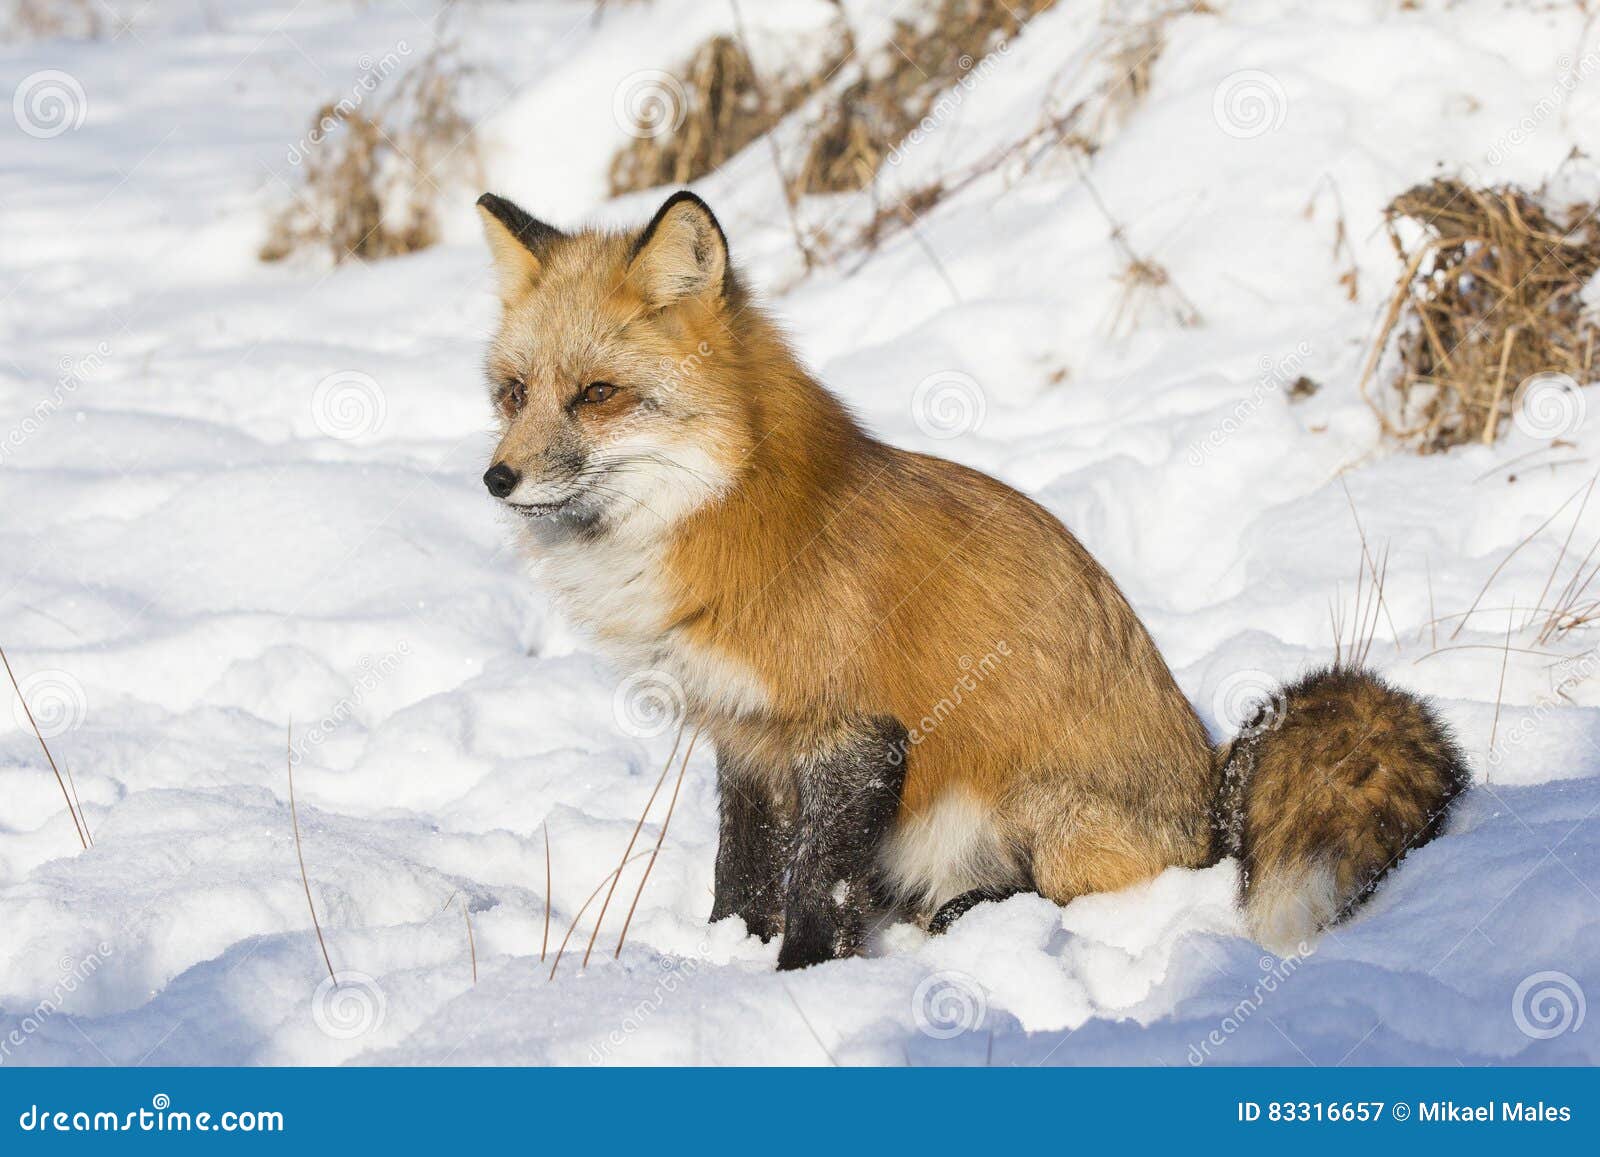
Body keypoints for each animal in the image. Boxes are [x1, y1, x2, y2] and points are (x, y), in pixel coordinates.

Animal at [473, 188, 1471, 969]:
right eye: (515, 392)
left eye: (598, 394)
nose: (496, 479)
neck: (740, 511)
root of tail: (1212, 798)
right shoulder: (746, 733)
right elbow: (742, 870)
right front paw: (724, 954)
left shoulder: (852, 729)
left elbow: (819, 889)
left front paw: (799, 981)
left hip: (1030, 804)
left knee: (1065, 896)